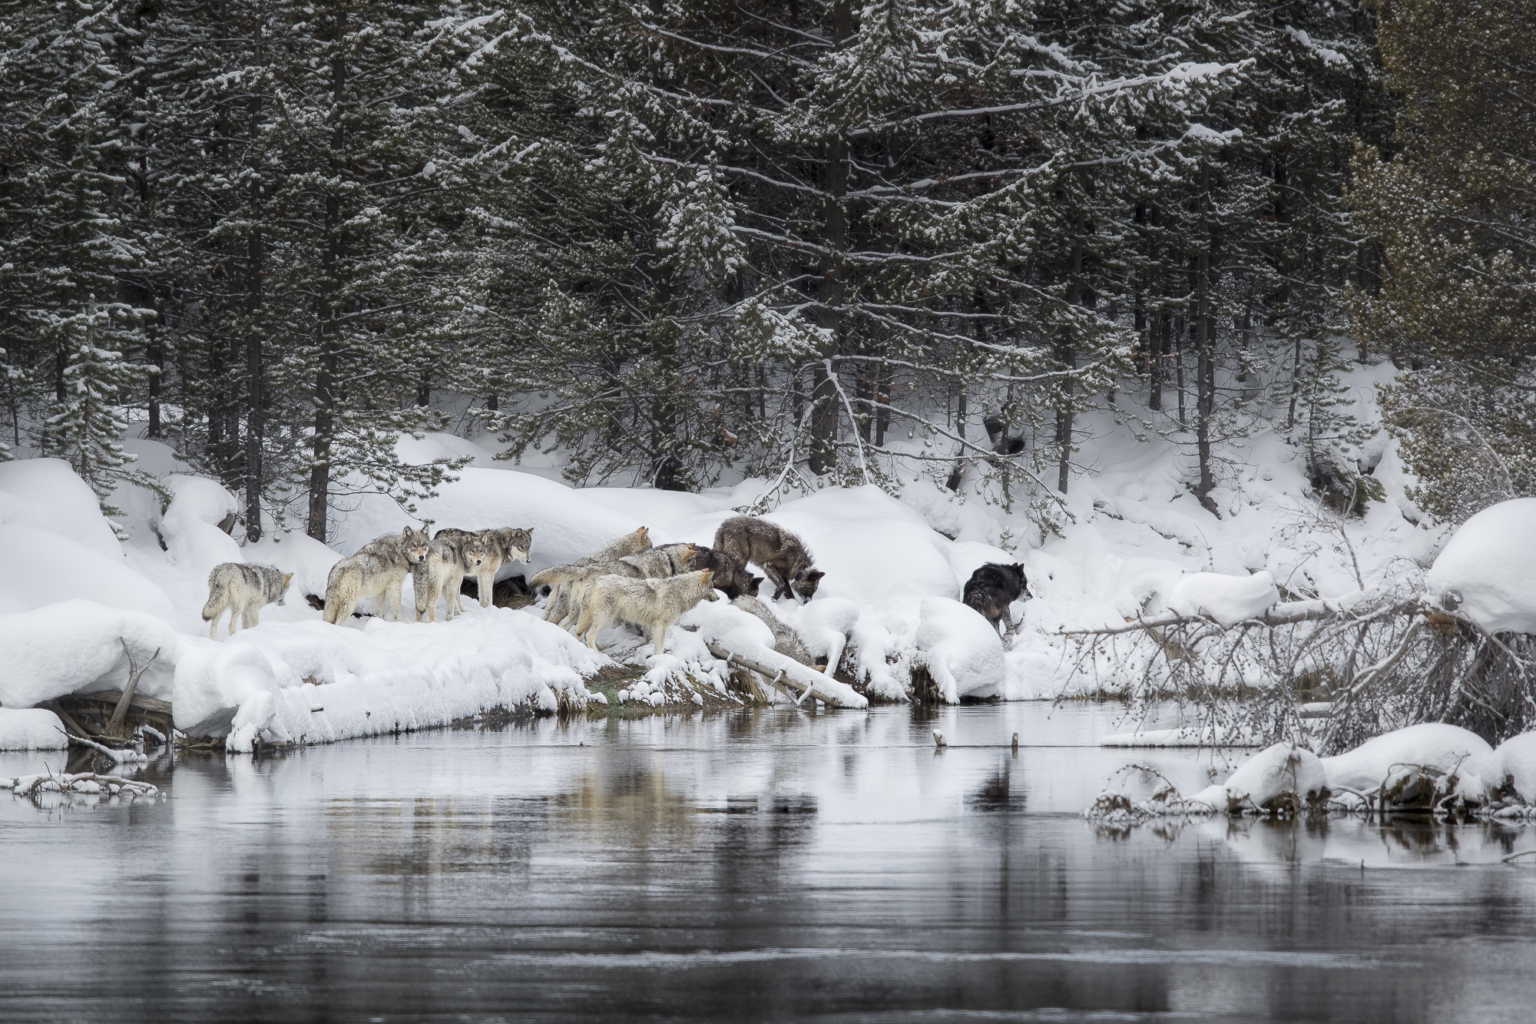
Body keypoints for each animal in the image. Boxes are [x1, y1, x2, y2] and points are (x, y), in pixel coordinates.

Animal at [574, 569, 718, 652]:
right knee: (589, 635)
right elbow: (660, 647)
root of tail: (595, 581)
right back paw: (599, 655)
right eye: (712, 587)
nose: (719, 598)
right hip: (604, 618)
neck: (680, 593)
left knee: (583, 633)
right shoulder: (660, 625)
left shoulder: (655, 625)